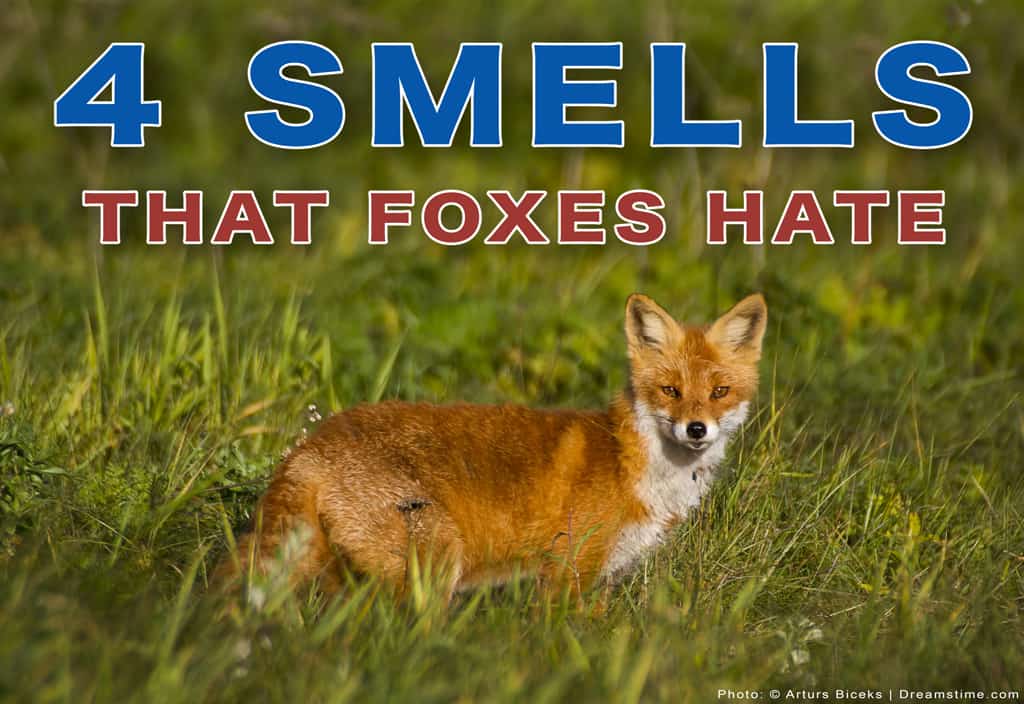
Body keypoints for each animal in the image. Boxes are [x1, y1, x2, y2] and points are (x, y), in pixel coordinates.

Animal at [221, 293, 767, 605]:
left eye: (719, 392)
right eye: (670, 391)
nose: (696, 430)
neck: (635, 467)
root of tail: (309, 445)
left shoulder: (603, 575)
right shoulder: (567, 571)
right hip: (433, 564)